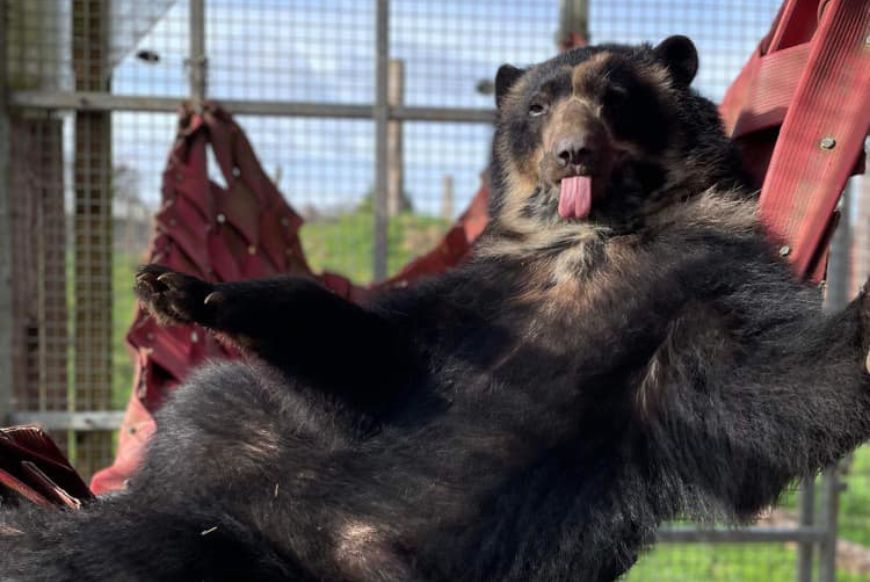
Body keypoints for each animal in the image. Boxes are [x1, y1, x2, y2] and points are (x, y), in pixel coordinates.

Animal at [1, 35, 869, 582]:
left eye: (618, 99)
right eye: (536, 109)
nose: (572, 156)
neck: (590, 242)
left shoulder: (701, 281)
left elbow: (767, 386)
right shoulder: (478, 296)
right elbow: (372, 356)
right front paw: (188, 288)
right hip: (232, 444)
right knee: (206, 419)